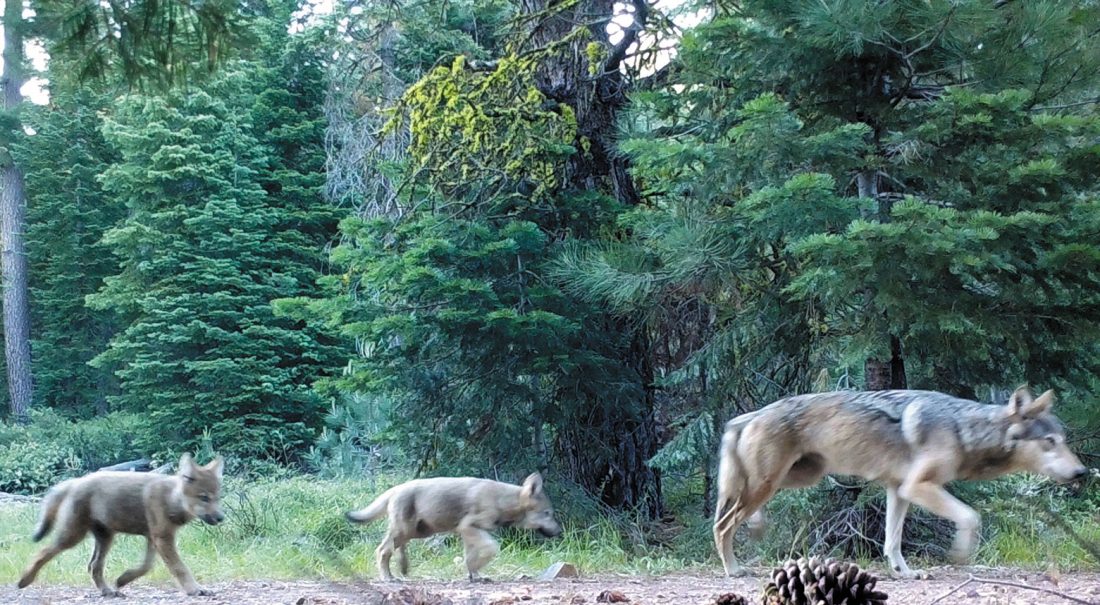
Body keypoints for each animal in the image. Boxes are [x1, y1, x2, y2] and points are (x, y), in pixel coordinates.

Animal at [18, 453, 225, 597]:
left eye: (217, 498)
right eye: (204, 498)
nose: (221, 517)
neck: (170, 498)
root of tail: (75, 481)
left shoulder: (153, 538)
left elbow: (146, 566)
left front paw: (123, 579)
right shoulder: (162, 538)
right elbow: (180, 568)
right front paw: (195, 589)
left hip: (106, 538)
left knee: (93, 566)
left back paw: (108, 591)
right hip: (72, 537)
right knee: (43, 552)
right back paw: (24, 580)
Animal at [345, 472, 562, 581]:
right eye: (548, 514)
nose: (560, 532)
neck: (502, 501)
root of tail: (395, 488)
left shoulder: (467, 533)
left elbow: (470, 558)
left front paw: (475, 576)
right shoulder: (468, 527)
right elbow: (491, 548)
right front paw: (476, 573)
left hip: (416, 532)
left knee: (394, 550)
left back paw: (402, 570)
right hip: (406, 531)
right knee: (382, 550)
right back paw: (388, 578)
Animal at [713, 386, 1087, 579]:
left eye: (1064, 440)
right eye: (1050, 442)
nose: (1082, 472)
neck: (963, 430)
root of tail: (748, 416)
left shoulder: (898, 489)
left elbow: (892, 541)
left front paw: (903, 572)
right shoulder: (917, 487)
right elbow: (971, 516)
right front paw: (960, 554)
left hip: (798, 478)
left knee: (739, 513)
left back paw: (756, 527)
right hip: (770, 483)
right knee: (722, 525)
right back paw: (733, 569)